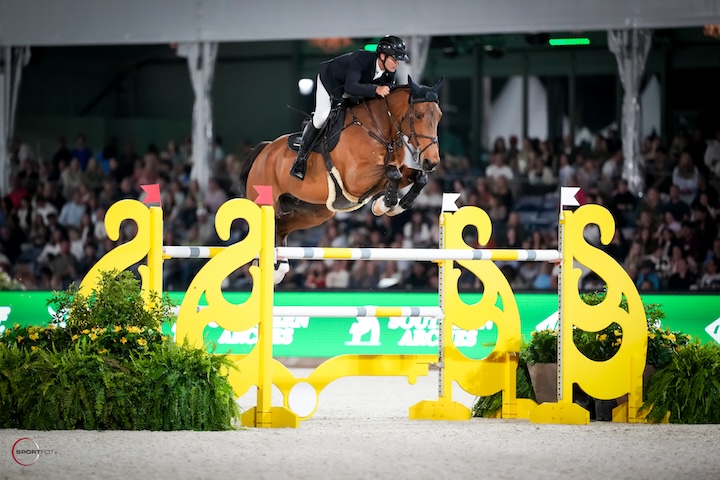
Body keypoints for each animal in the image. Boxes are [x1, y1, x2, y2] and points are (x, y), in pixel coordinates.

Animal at [239, 76, 444, 281]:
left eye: (439, 116)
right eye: (418, 115)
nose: (431, 162)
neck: (379, 129)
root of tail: (264, 150)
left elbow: (418, 177)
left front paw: (395, 205)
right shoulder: (356, 179)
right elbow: (393, 172)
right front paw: (385, 204)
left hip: (315, 211)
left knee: (281, 227)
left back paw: (279, 267)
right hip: (266, 201)